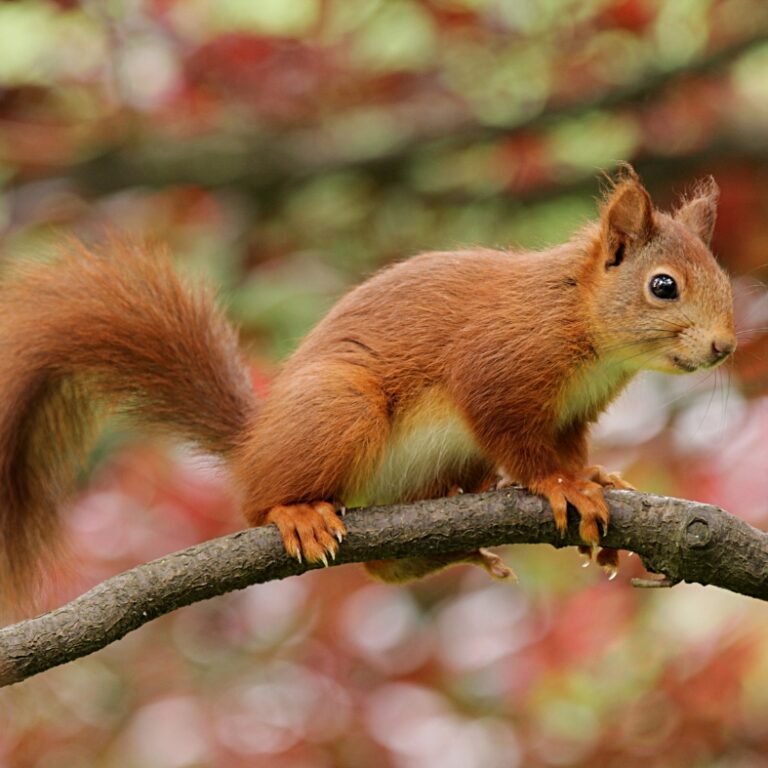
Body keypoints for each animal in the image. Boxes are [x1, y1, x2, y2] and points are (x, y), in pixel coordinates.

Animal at [0, 167, 735, 604]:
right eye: (663, 286)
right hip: (339, 408)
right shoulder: (498, 365)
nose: (724, 346)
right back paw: (294, 511)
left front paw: (597, 477)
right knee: (257, 502)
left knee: (385, 567)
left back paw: (455, 536)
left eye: (724, 278)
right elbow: (515, 439)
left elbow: (572, 446)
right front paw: (562, 485)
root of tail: (253, 442)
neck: (582, 321)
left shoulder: (573, 414)